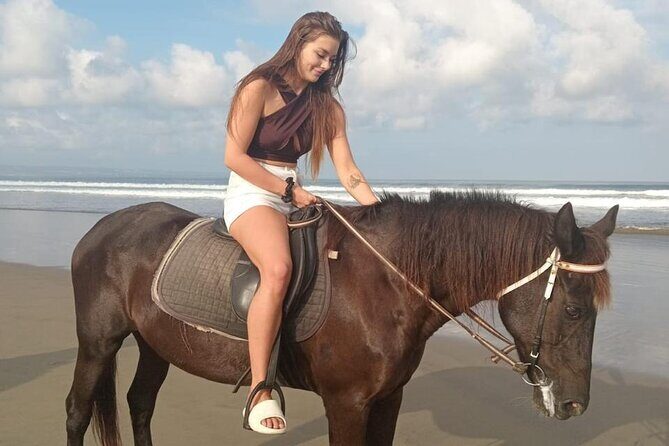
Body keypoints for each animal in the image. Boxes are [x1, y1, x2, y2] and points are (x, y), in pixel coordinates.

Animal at [65, 190, 617, 446]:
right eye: (572, 308)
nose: (576, 405)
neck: (385, 282)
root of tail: (104, 228)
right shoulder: (347, 403)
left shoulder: (388, 399)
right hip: (98, 343)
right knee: (77, 409)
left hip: (154, 343)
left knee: (139, 404)